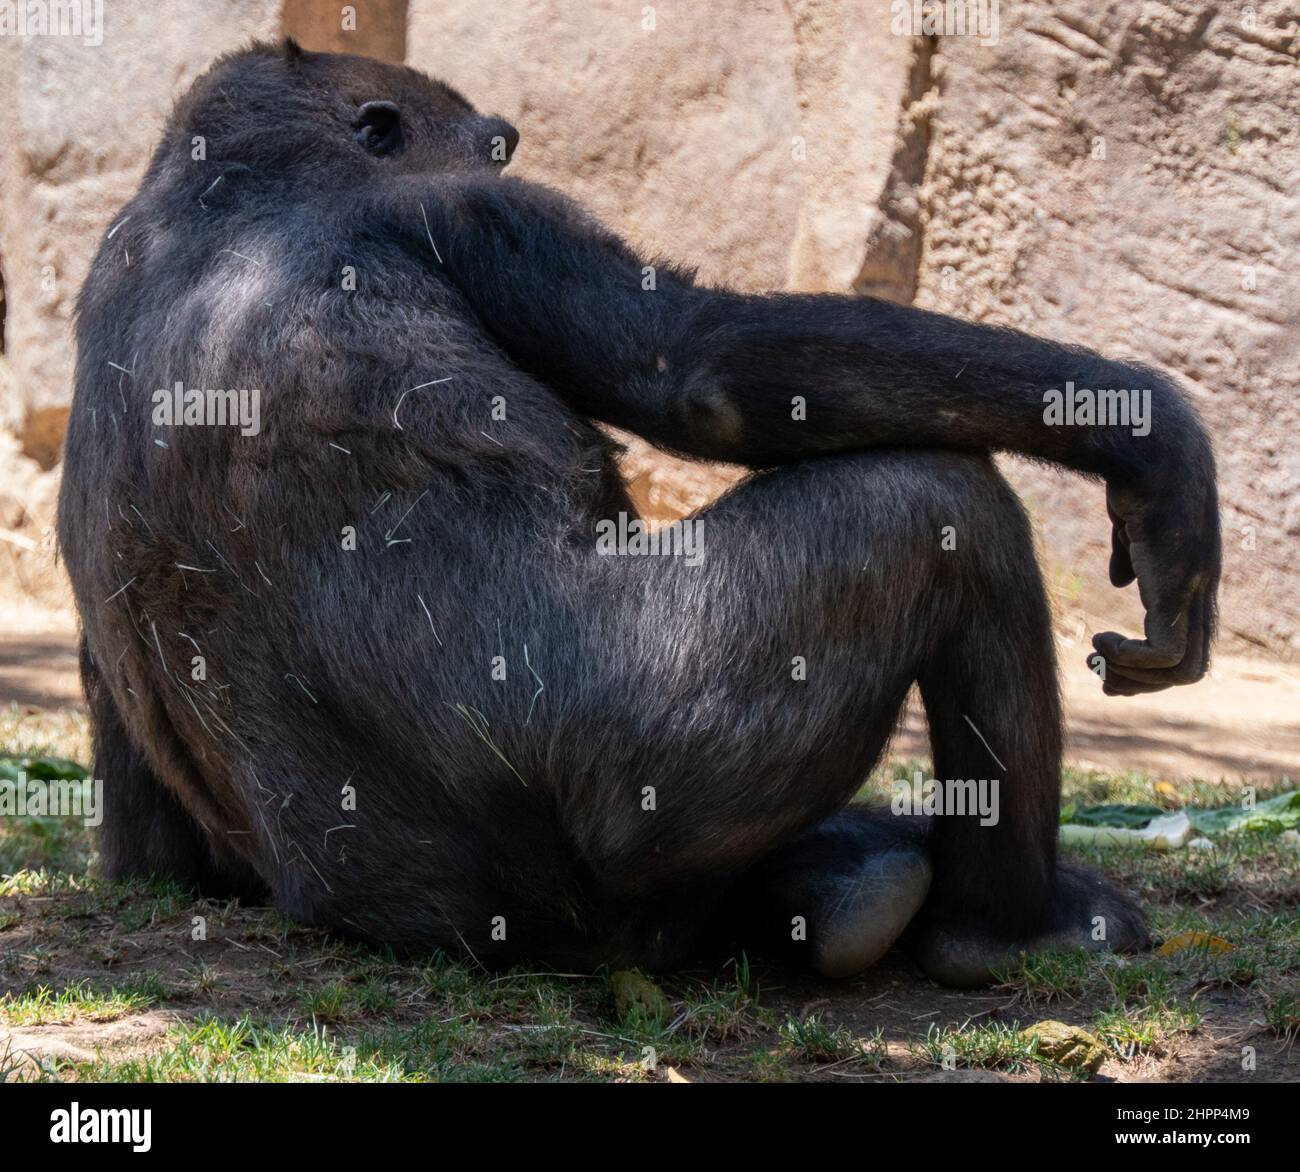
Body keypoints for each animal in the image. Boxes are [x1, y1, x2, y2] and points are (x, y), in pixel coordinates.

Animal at [57, 40, 1219, 987]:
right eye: (495, 153)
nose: (511, 149)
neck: (228, 191)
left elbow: (145, 847)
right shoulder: (466, 214)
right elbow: (696, 367)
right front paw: (1147, 438)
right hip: (641, 803)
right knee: (938, 513)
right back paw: (997, 928)